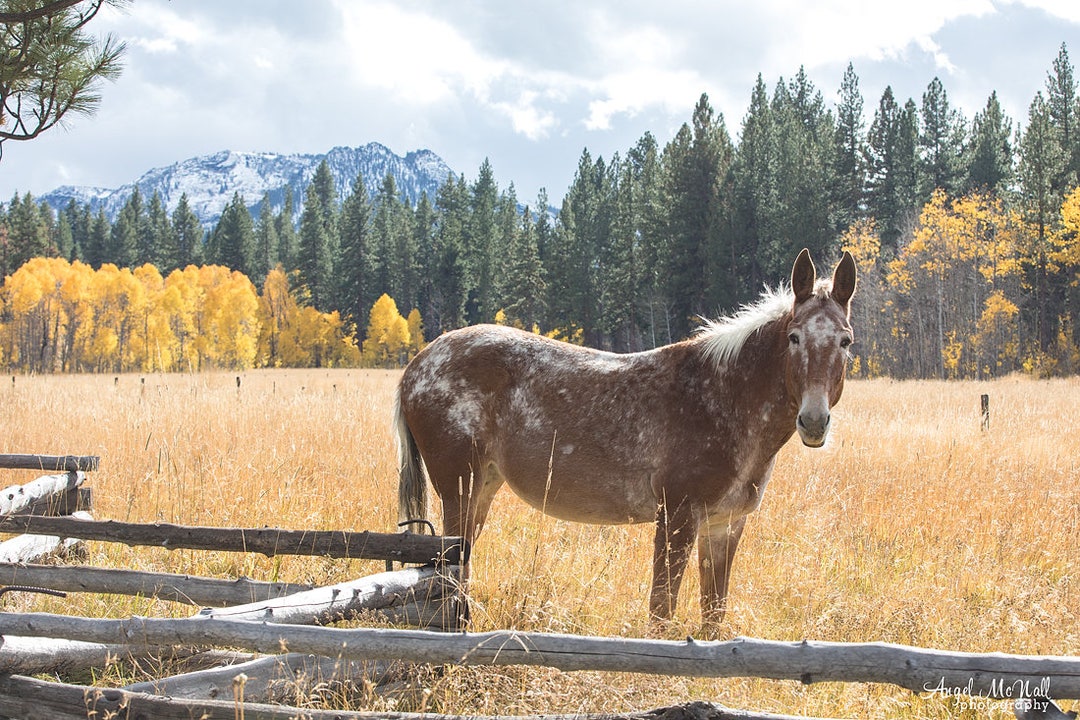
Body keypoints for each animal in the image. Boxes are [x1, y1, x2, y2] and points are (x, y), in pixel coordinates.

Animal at [395, 248, 856, 635]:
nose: (814, 422)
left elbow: (713, 611)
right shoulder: (677, 516)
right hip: (460, 487)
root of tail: (417, 365)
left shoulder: (725, 524)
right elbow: (662, 608)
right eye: (794, 337)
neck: (722, 396)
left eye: (845, 340)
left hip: (484, 487)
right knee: (450, 569)